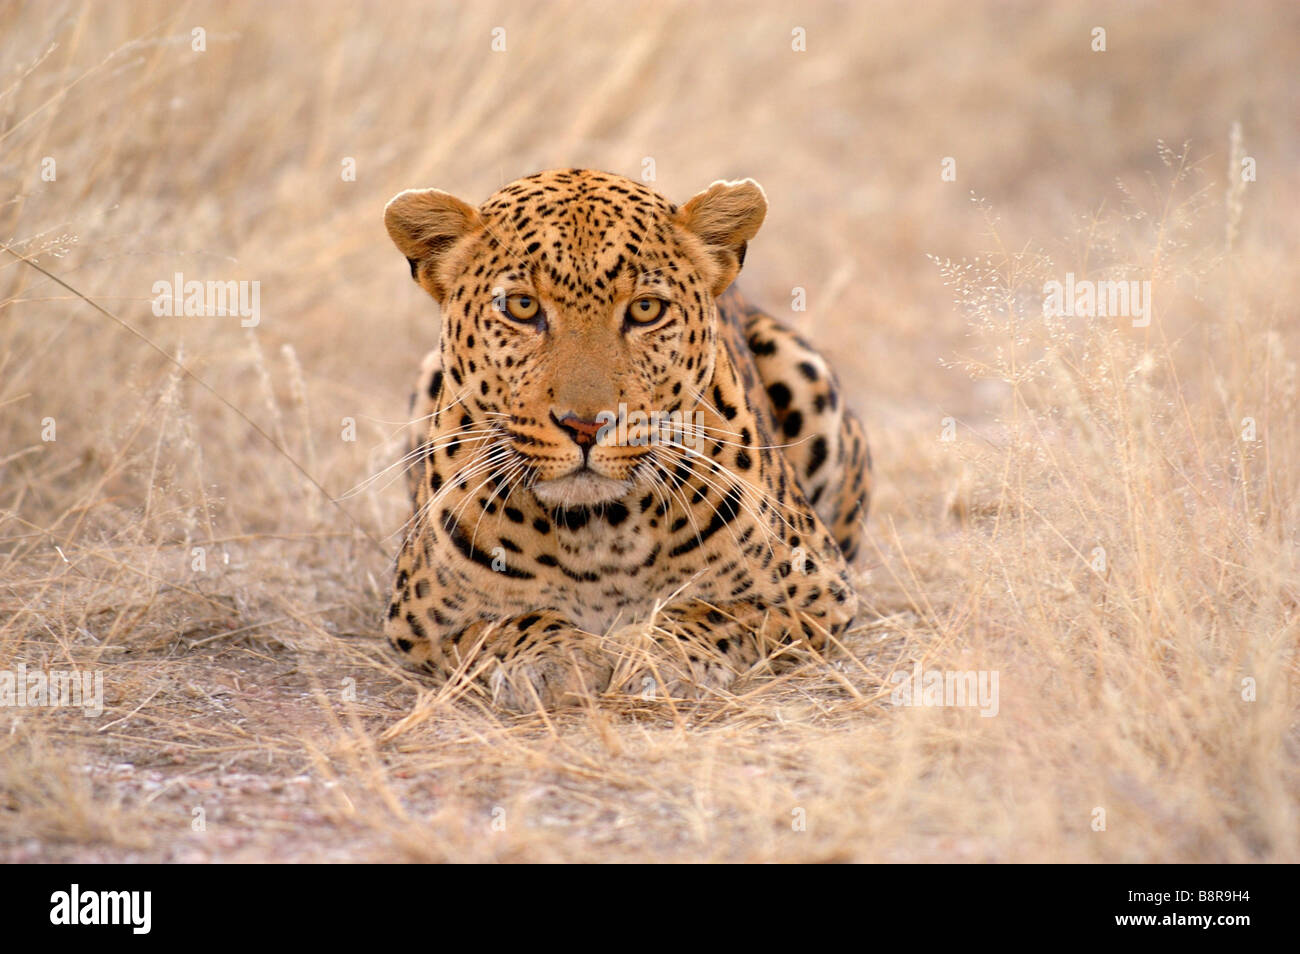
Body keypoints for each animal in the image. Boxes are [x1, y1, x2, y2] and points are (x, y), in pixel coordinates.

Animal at [381, 169, 872, 711]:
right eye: (522, 306)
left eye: (646, 309)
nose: (585, 426)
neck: (597, 532)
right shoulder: (417, 620)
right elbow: (504, 624)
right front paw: (554, 660)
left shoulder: (821, 590)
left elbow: (715, 613)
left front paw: (656, 656)